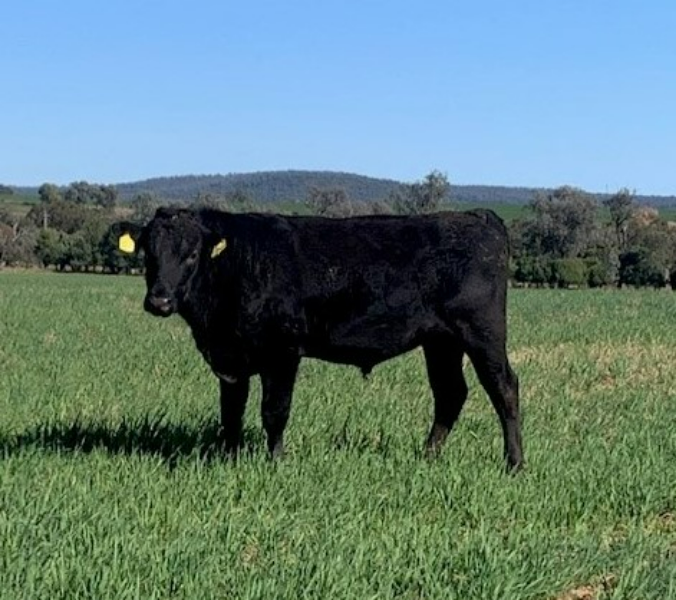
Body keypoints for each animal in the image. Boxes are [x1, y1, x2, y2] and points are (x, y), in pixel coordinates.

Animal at [116, 206, 523, 470]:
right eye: (148, 252)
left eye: (192, 255)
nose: (159, 301)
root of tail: (477, 216)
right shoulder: (229, 357)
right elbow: (231, 412)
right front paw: (228, 460)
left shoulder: (282, 352)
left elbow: (274, 412)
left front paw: (276, 463)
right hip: (441, 342)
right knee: (450, 394)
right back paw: (428, 457)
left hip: (482, 333)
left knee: (504, 388)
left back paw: (514, 464)